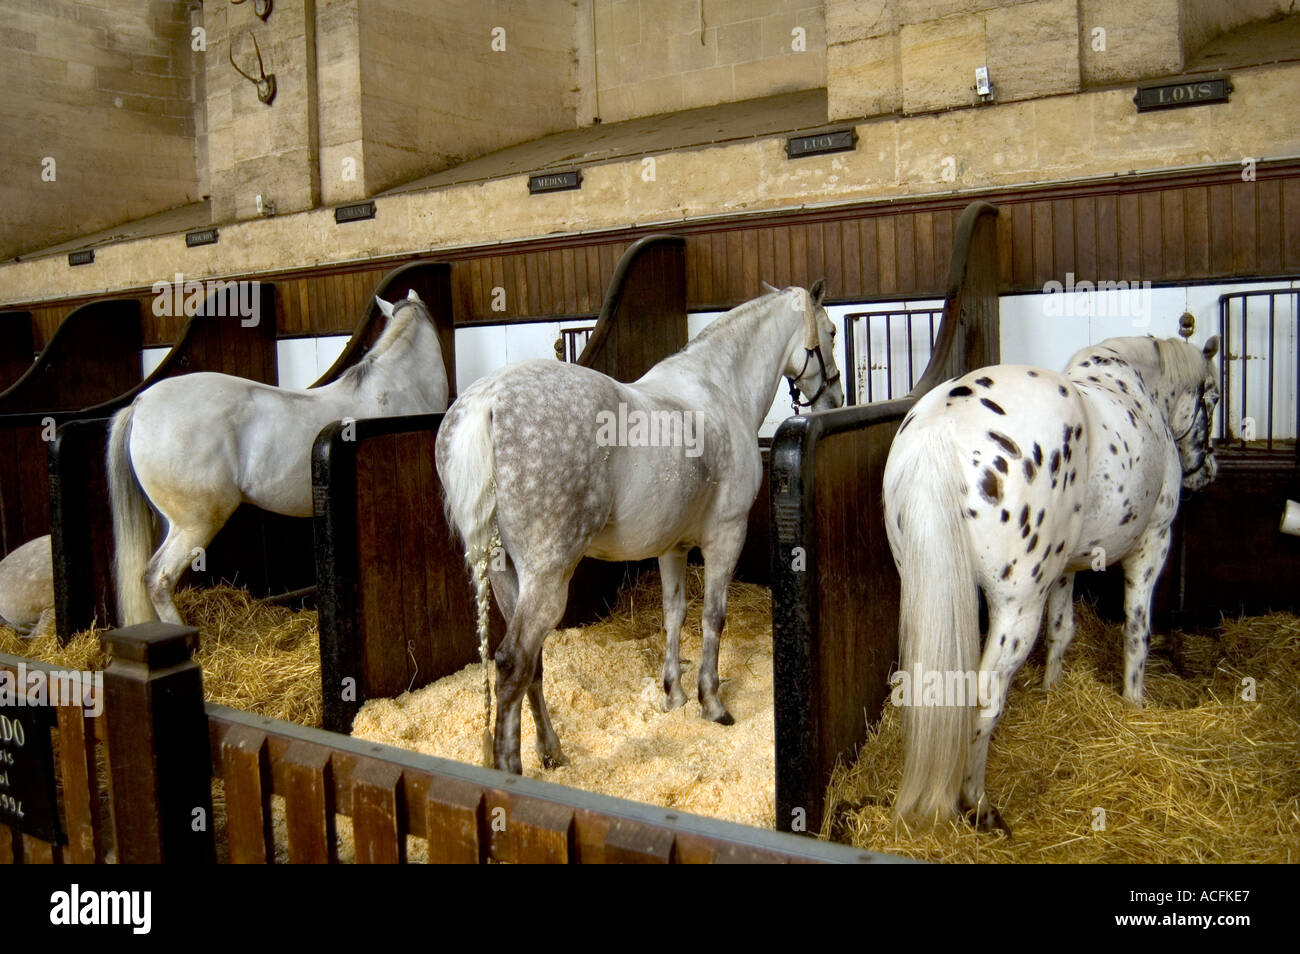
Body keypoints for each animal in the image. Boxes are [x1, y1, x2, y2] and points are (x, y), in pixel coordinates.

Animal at [436, 281, 843, 773]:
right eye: (832, 331)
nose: (834, 400)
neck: (720, 389)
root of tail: (488, 401)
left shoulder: (672, 547)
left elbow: (674, 613)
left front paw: (674, 695)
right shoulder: (726, 535)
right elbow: (713, 617)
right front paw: (712, 703)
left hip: (505, 573)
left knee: (531, 663)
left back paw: (551, 750)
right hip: (547, 577)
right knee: (514, 662)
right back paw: (513, 772)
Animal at [883, 333, 1220, 834]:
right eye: (1213, 399)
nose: (1207, 471)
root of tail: (942, 427)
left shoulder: (1064, 571)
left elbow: (1062, 632)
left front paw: (1050, 691)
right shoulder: (1152, 547)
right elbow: (1137, 633)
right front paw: (1134, 703)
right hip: (1016, 609)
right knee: (984, 698)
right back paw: (979, 805)